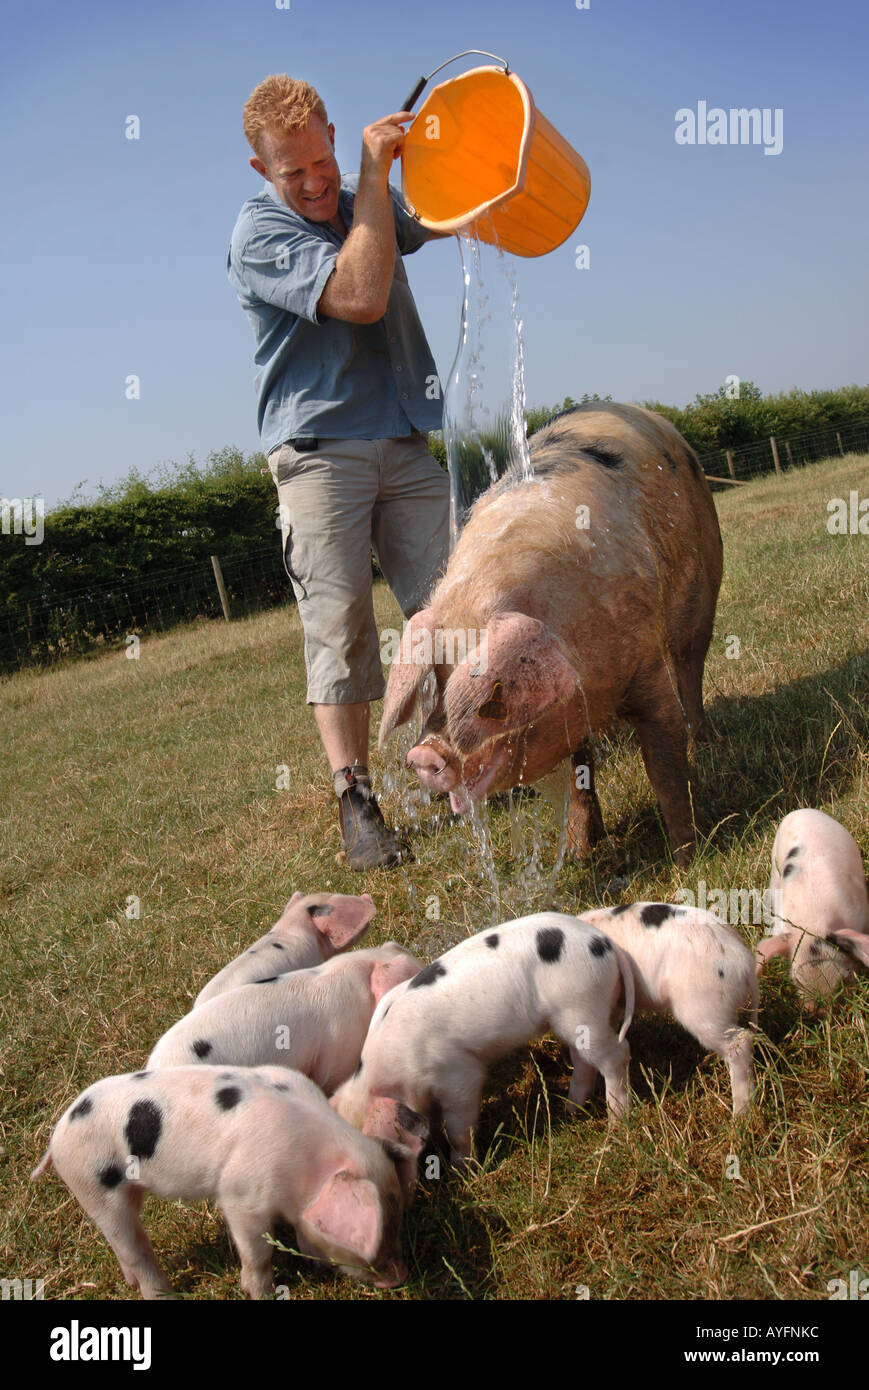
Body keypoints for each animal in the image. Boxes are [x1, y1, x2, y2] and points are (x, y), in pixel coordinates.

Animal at [31, 1065, 408, 1298]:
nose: (400, 1278)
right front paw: (262, 1293)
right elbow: (258, 1253)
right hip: (95, 1188)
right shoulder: (241, 1196)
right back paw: (167, 1295)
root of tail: (56, 1136)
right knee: (134, 1247)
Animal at [332, 913, 635, 1188]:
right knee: (583, 1061)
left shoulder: (458, 1075)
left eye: (389, 1155)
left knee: (617, 1054)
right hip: (572, 1019)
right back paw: (570, 1110)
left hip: (582, 1007)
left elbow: (459, 1129)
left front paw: (462, 1171)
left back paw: (617, 1122)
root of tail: (606, 945)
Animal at [379, 403, 722, 865]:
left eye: (492, 696)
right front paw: (579, 852)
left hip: (704, 582)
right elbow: (579, 779)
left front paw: (689, 860)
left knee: (691, 665)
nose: (422, 753)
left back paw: (705, 744)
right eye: (437, 675)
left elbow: (665, 769)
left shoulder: (648, 669)